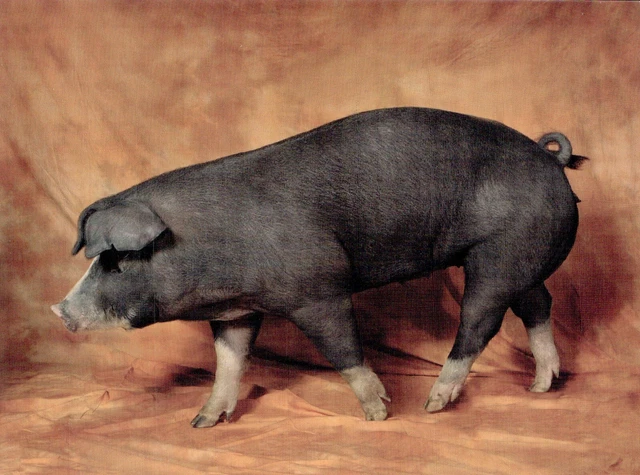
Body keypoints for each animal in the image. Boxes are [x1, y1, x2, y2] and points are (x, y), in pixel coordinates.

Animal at [51, 107, 586, 427]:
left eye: (118, 262)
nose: (58, 310)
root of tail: (549, 159)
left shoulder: (318, 290)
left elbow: (343, 349)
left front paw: (379, 413)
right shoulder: (237, 311)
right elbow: (229, 361)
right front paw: (202, 422)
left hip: (500, 253)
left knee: (481, 320)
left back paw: (434, 404)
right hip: (524, 260)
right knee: (538, 302)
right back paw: (542, 385)